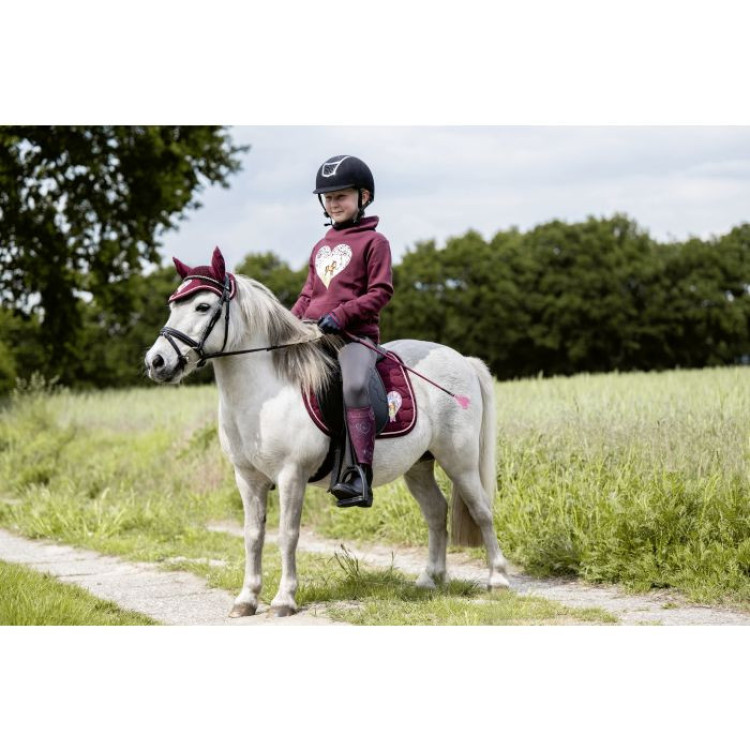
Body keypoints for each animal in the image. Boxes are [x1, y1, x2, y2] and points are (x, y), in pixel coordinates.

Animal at [145, 249, 510, 617]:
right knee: (436, 512)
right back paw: (430, 579)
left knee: (482, 510)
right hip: (419, 465)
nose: (156, 362)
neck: (266, 392)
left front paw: (284, 599)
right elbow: (253, 535)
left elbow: (288, 534)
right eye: (173, 305)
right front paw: (247, 598)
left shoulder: (291, 474)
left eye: (202, 306)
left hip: (459, 460)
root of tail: (462, 359)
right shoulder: (247, 477)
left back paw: (498, 580)